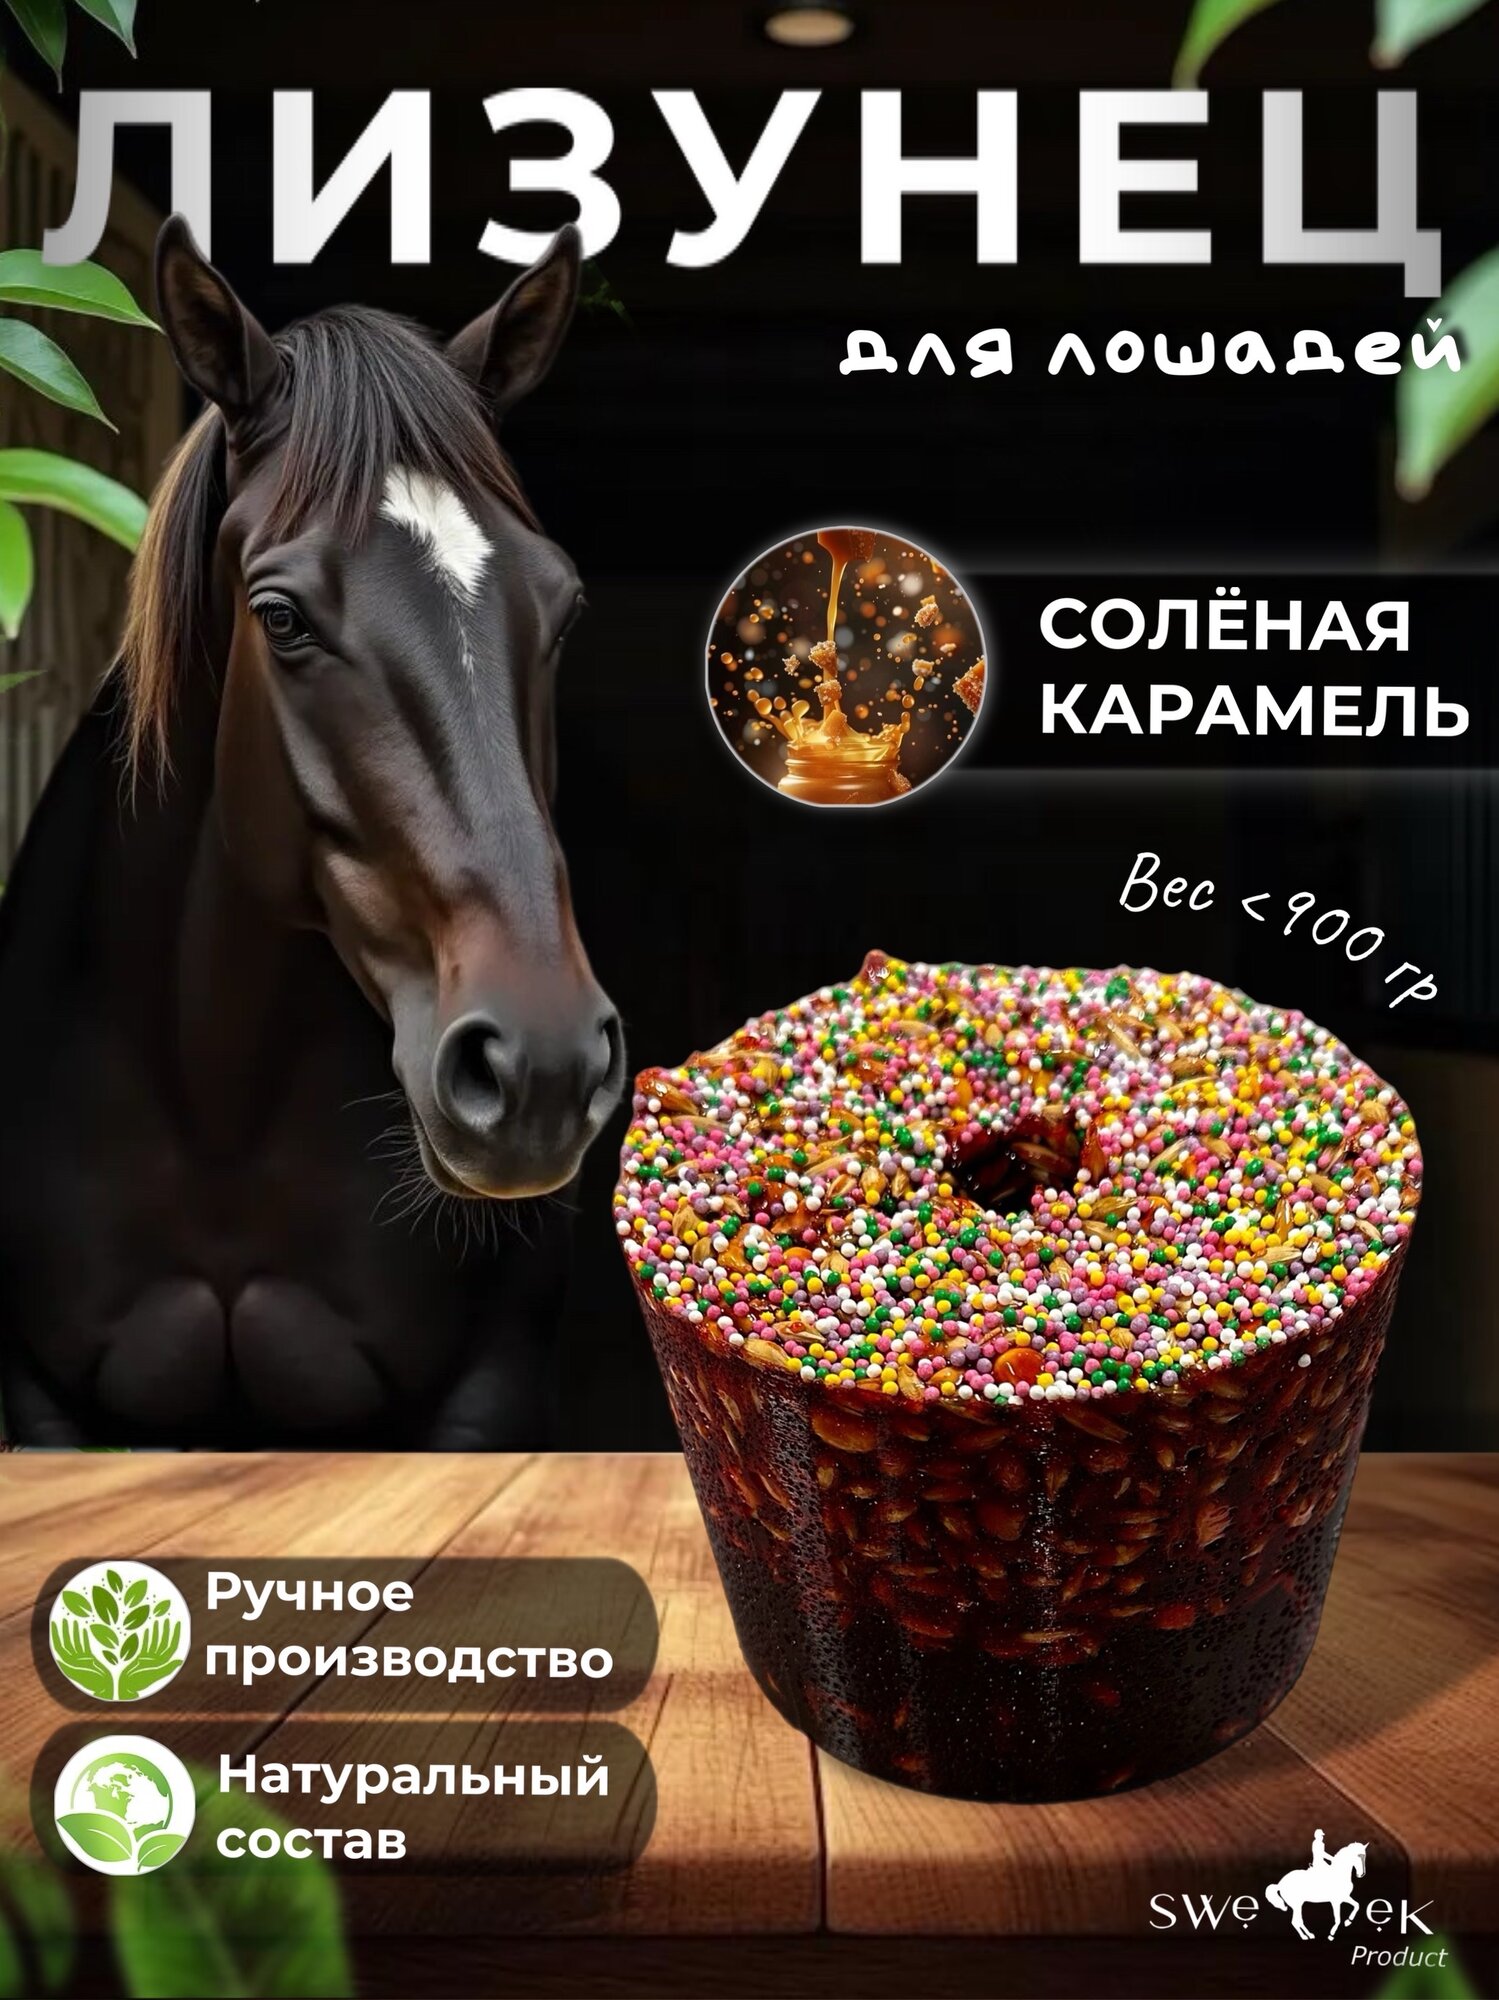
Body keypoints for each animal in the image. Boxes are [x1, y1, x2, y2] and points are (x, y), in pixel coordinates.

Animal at [0, 216, 624, 1448]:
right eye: (280, 616)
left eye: (564, 607)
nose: (538, 1063)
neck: (214, 1096)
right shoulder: (38, 1398)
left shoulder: (485, 1393)